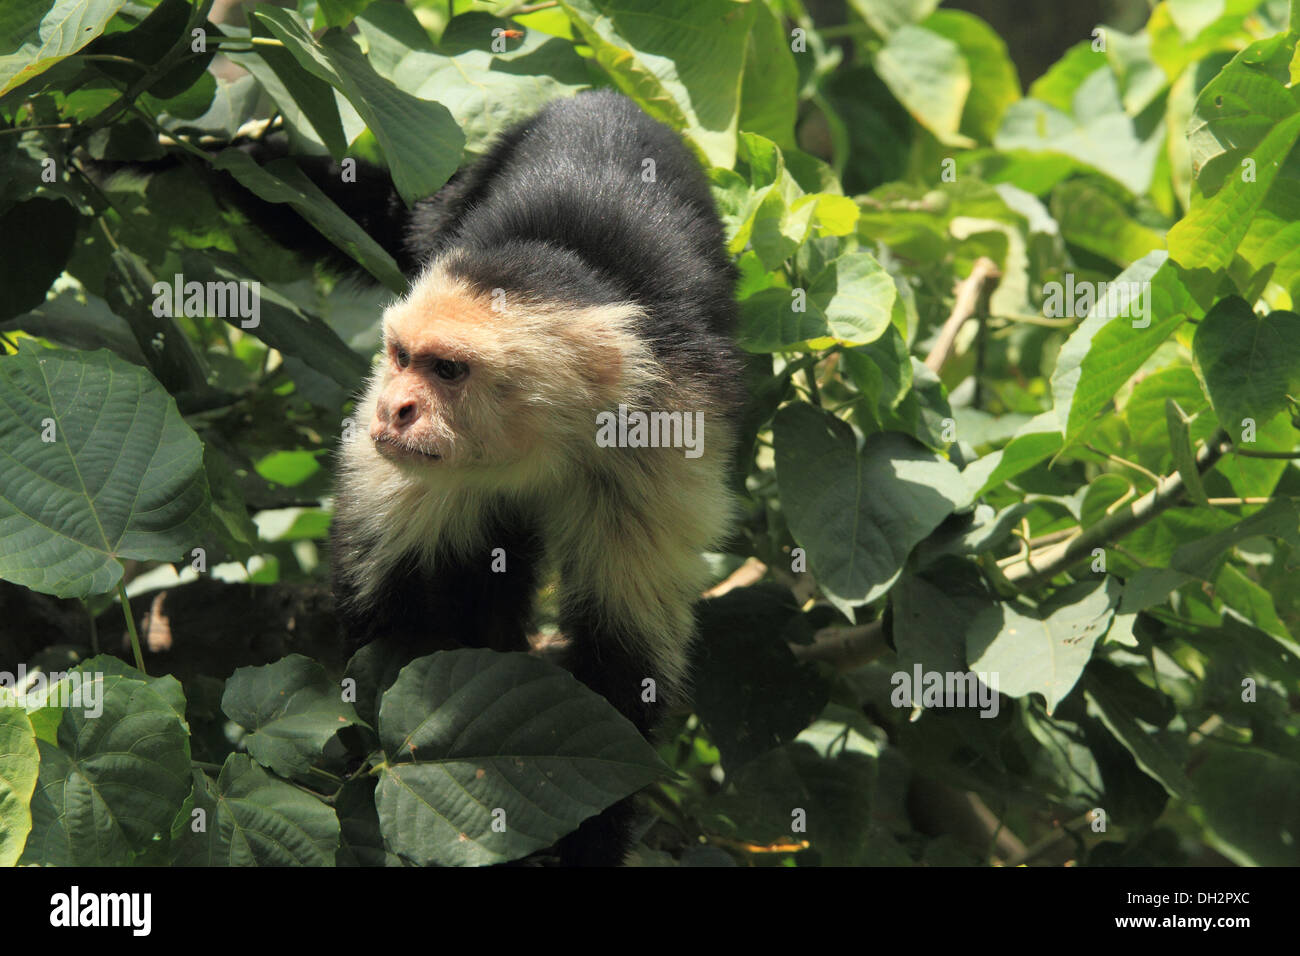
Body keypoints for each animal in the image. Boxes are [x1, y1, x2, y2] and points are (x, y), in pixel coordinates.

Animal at [327, 90, 742, 865]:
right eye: (401, 356)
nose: (393, 408)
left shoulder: (660, 439)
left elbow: (623, 662)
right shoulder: (413, 467)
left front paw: (590, 846)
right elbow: (388, 613)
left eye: (448, 370)